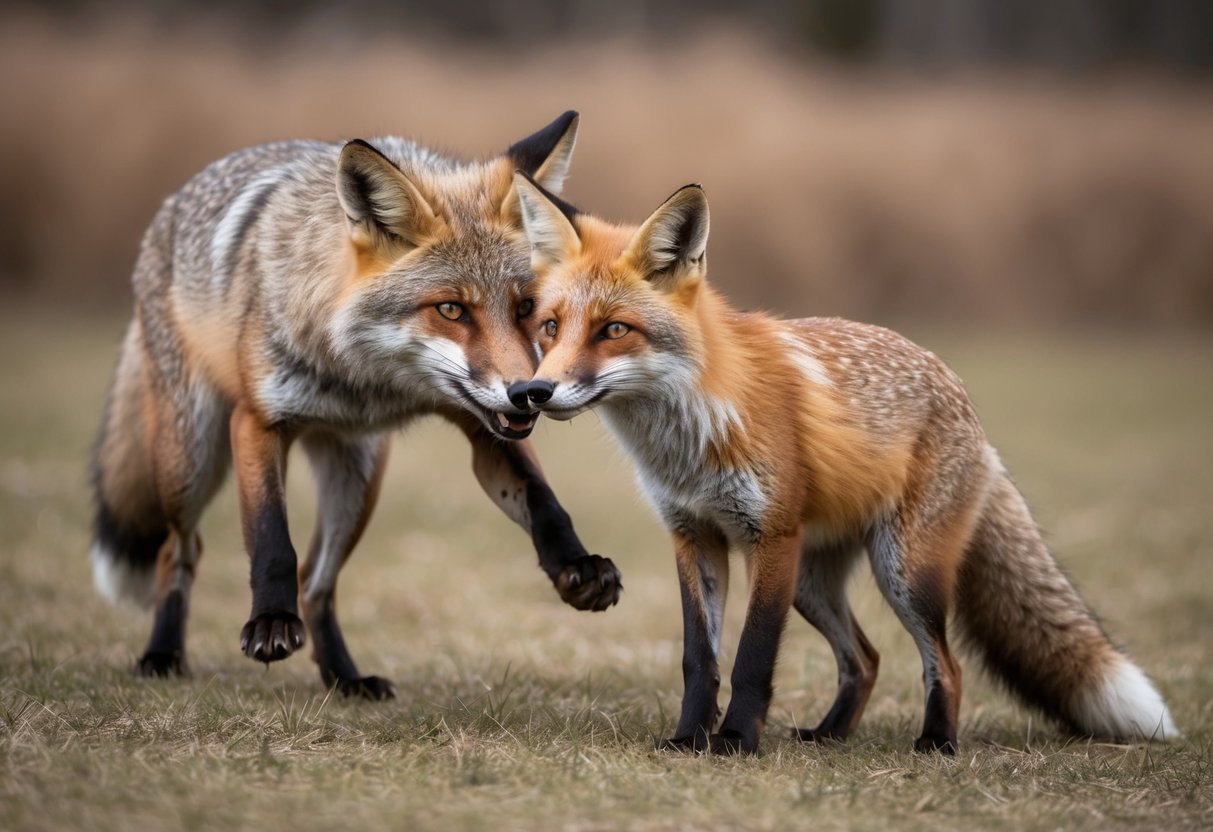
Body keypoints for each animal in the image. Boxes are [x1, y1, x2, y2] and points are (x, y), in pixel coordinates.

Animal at [90, 112, 622, 699]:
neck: (371, 381)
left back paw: (343, 678)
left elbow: (544, 501)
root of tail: (166, 210)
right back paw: (163, 653)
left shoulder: (484, 424)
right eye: (452, 310)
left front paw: (576, 566)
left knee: (318, 583)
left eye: (526, 307)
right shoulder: (257, 422)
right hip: (188, 460)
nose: (528, 392)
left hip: (358, 479)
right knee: (179, 552)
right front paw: (270, 622)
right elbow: (272, 540)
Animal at [509, 170, 1179, 754]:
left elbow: (752, 658)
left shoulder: (770, 535)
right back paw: (830, 736)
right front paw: (688, 740)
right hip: (813, 581)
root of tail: (966, 404)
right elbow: (700, 659)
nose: (535, 392)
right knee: (866, 658)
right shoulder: (694, 535)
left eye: (614, 330)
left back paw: (937, 743)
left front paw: (735, 742)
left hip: (902, 571)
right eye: (551, 326)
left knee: (947, 664)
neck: (691, 432)